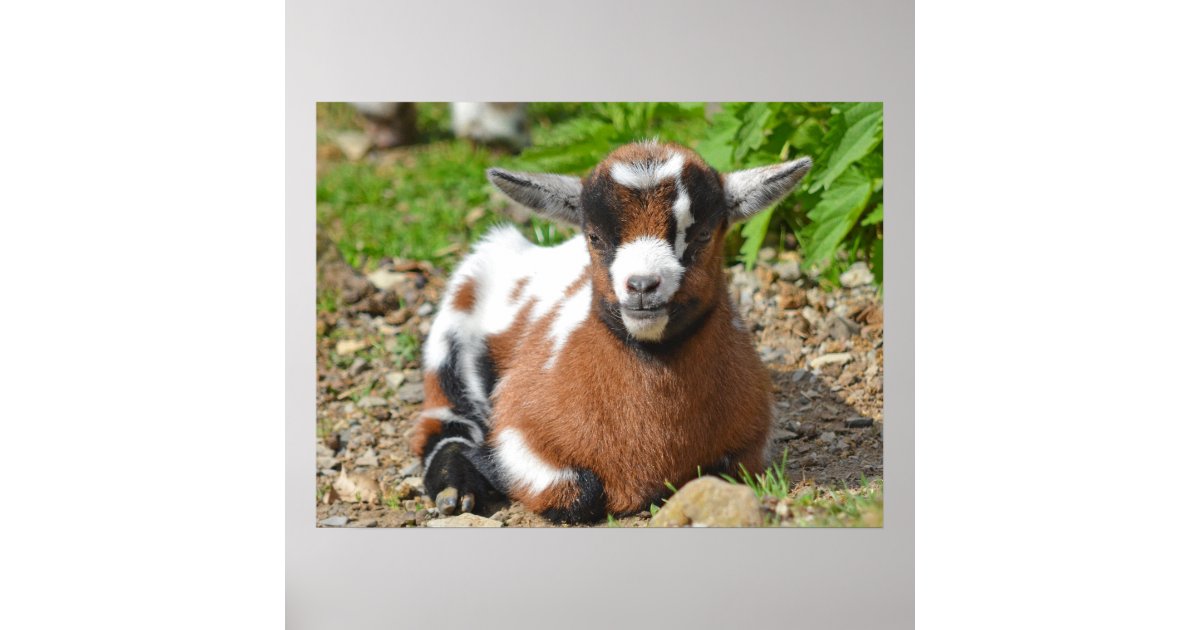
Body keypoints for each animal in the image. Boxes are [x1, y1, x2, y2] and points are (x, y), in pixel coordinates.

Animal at [410, 140, 812, 523]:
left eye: (702, 235)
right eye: (595, 237)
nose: (642, 285)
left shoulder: (751, 445)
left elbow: (723, 470)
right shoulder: (518, 431)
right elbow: (580, 492)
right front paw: (485, 465)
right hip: (455, 325)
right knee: (445, 420)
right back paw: (455, 488)